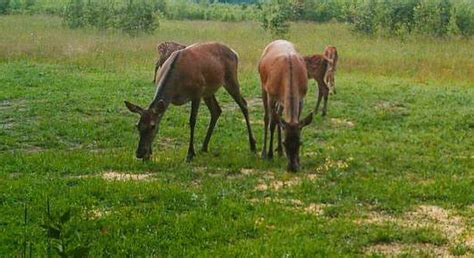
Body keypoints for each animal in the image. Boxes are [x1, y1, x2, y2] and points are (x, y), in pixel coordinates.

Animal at [126, 42, 258, 161]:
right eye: (138, 125)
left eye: (153, 126)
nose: (139, 153)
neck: (176, 85)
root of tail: (235, 53)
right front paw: (149, 154)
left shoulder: (197, 92)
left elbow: (192, 121)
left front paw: (190, 154)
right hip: (208, 90)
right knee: (216, 110)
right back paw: (204, 147)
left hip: (230, 78)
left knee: (243, 104)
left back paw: (253, 146)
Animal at [258, 39, 312, 171]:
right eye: (285, 142)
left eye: (300, 143)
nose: (292, 168)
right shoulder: (271, 94)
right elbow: (272, 122)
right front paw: (269, 154)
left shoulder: (301, 97)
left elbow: (294, 120)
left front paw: (299, 160)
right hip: (263, 86)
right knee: (267, 117)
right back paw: (265, 152)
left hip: (281, 101)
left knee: (279, 117)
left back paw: (279, 152)